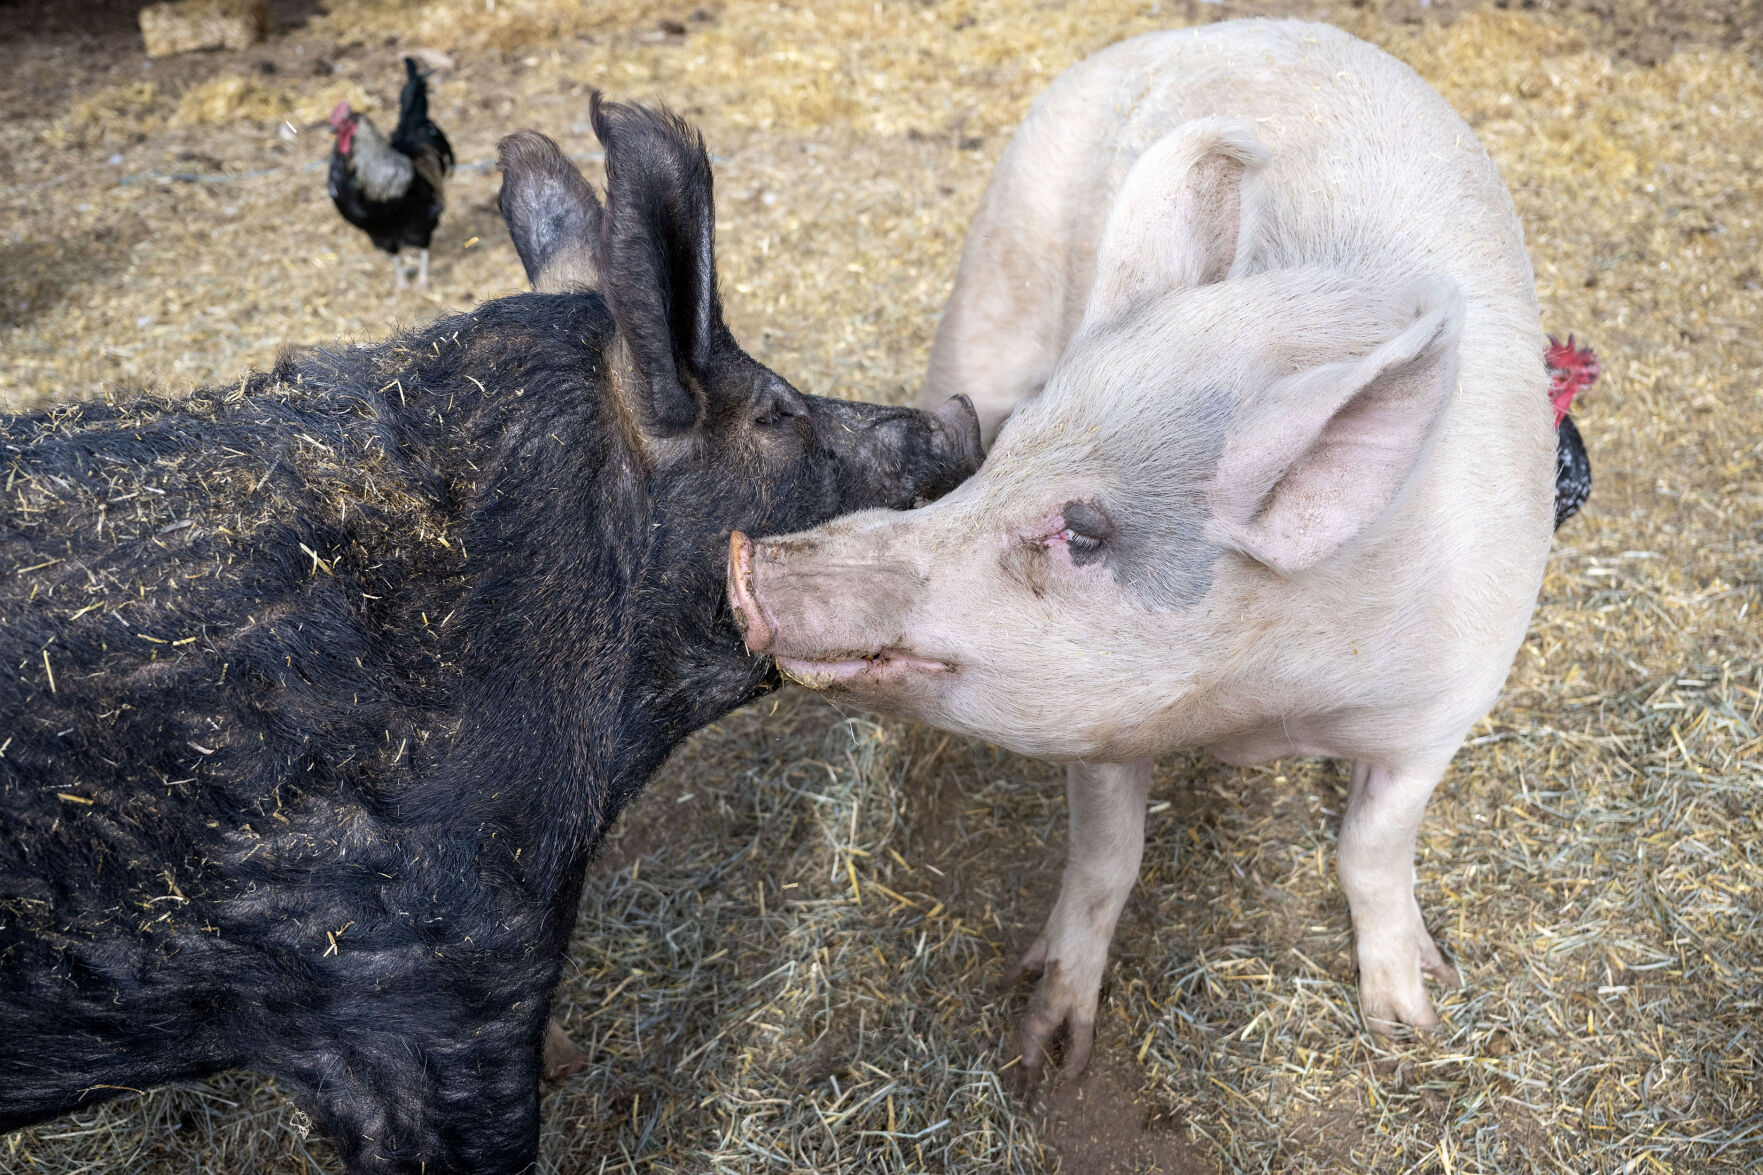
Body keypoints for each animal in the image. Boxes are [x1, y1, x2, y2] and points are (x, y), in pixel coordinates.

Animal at [727, 20, 1556, 1081]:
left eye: (1083, 532)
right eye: (1002, 457)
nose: (748, 560)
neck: (1259, 701)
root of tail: (1197, 27)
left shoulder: (1445, 702)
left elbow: (1371, 848)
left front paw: (1412, 1025)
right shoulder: (1103, 726)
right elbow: (1104, 858)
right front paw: (1045, 1047)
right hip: (987, 292)